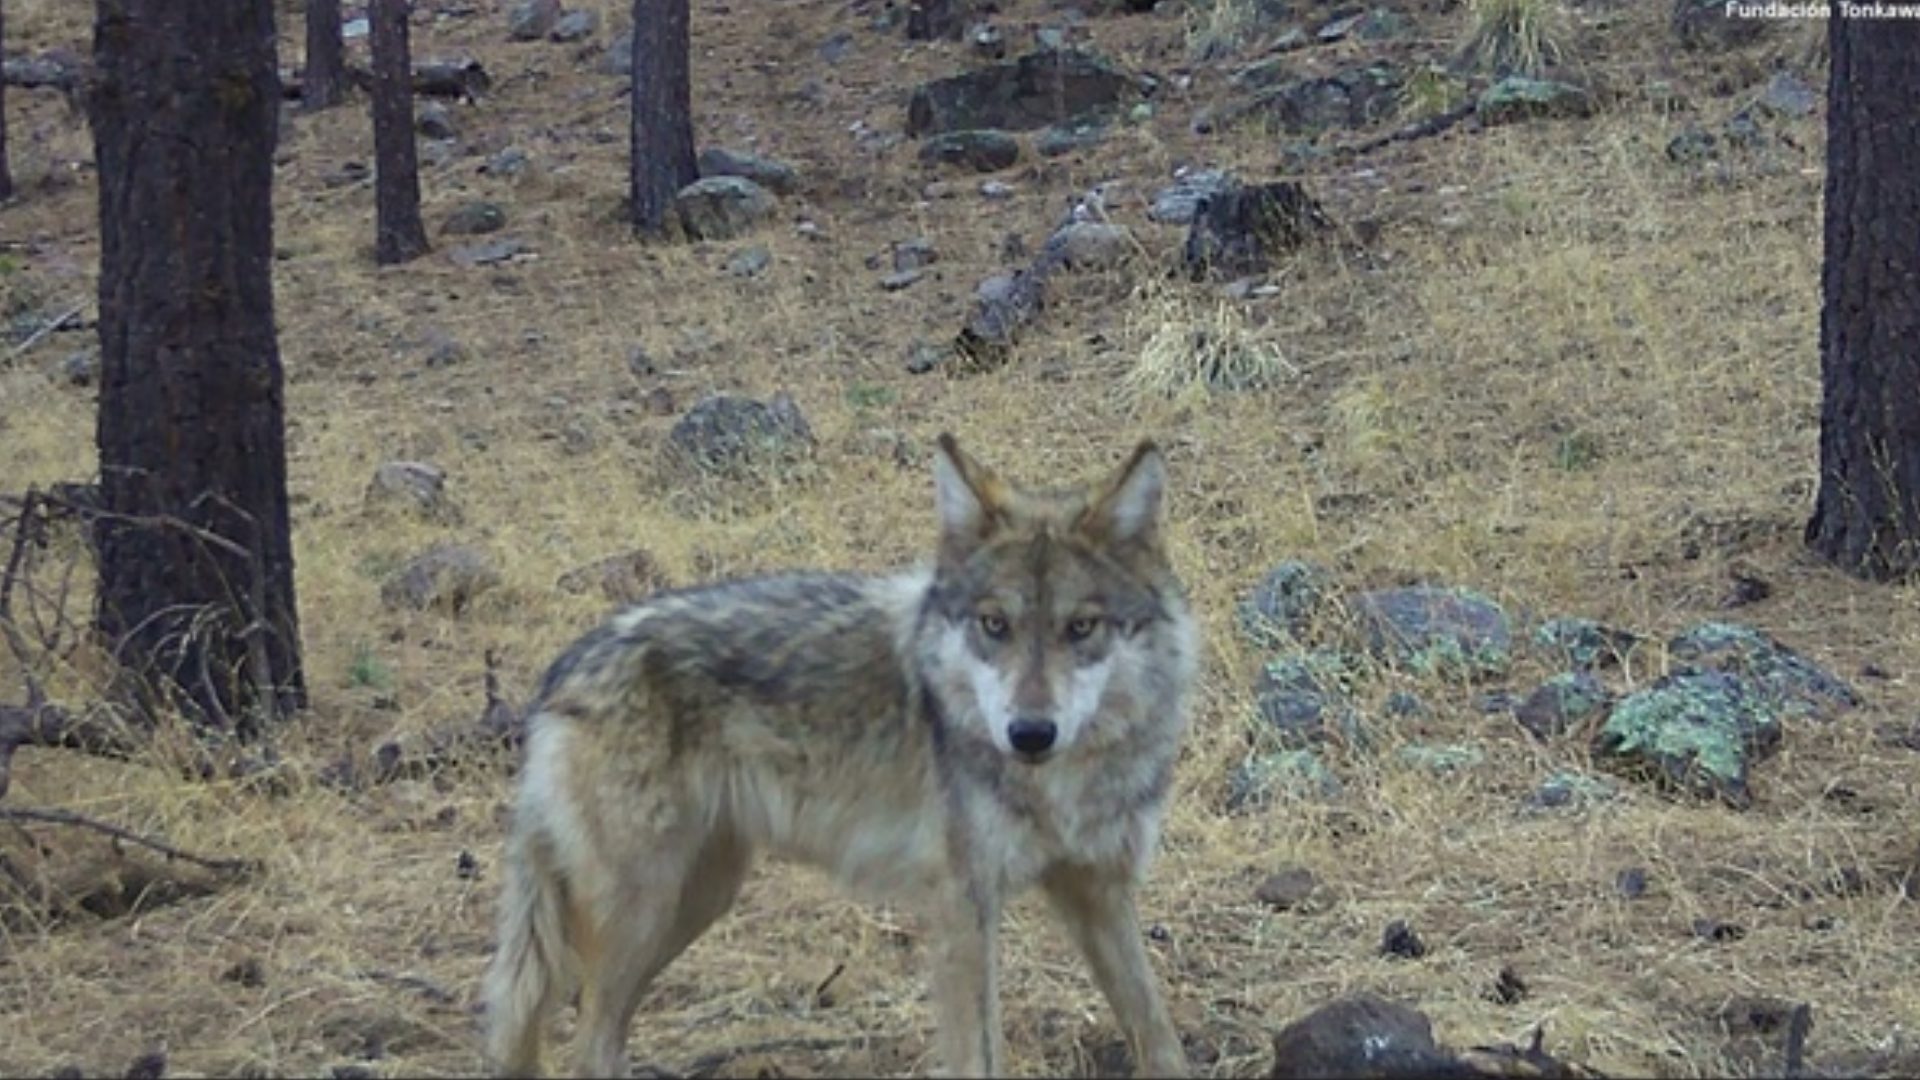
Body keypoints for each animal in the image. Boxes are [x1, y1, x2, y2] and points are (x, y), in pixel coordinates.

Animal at [481, 433, 1200, 1078]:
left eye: (1082, 627)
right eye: (994, 625)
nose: (1028, 732)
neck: (1064, 785)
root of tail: (566, 667)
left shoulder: (1098, 890)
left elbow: (1159, 1036)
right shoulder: (963, 910)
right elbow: (980, 1058)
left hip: (696, 899)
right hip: (644, 905)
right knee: (588, 1042)